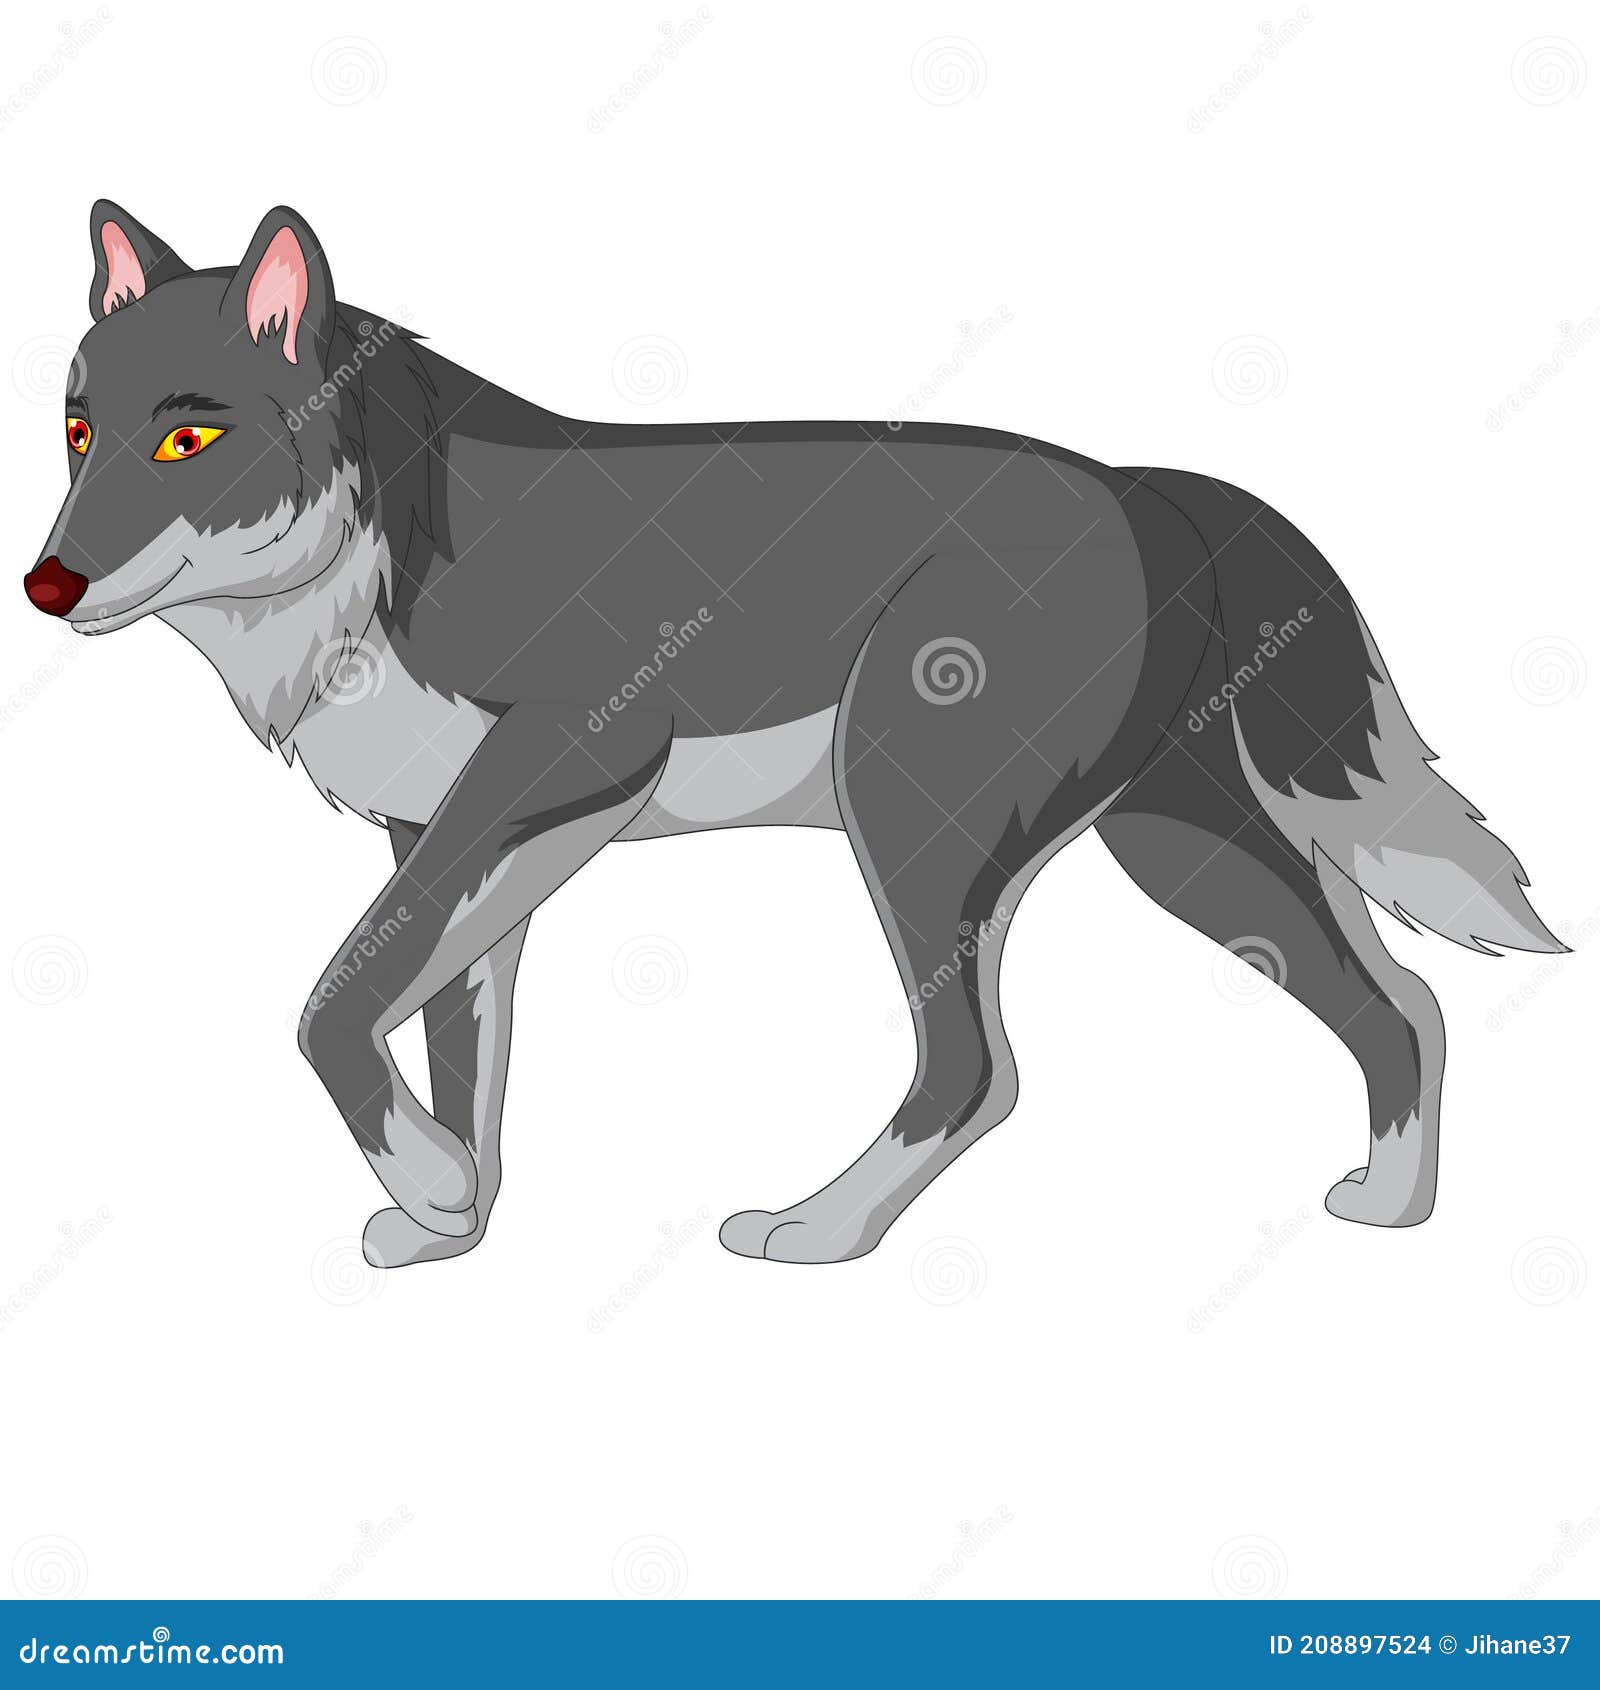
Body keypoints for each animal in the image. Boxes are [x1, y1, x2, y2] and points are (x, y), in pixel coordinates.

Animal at [25, 202, 1564, 1269]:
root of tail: (1144, 487)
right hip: (1175, 845)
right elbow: (458, 1058)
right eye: (79, 433)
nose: (44, 586)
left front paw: (432, 1187)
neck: (381, 551)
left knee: (976, 1070)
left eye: (187, 441)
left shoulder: (555, 770)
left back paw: (819, 1233)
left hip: (916, 817)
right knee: (1400, 1006)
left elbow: (330, 1008)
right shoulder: (450, 838)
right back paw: (1393, 1208)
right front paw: (450, 1223)